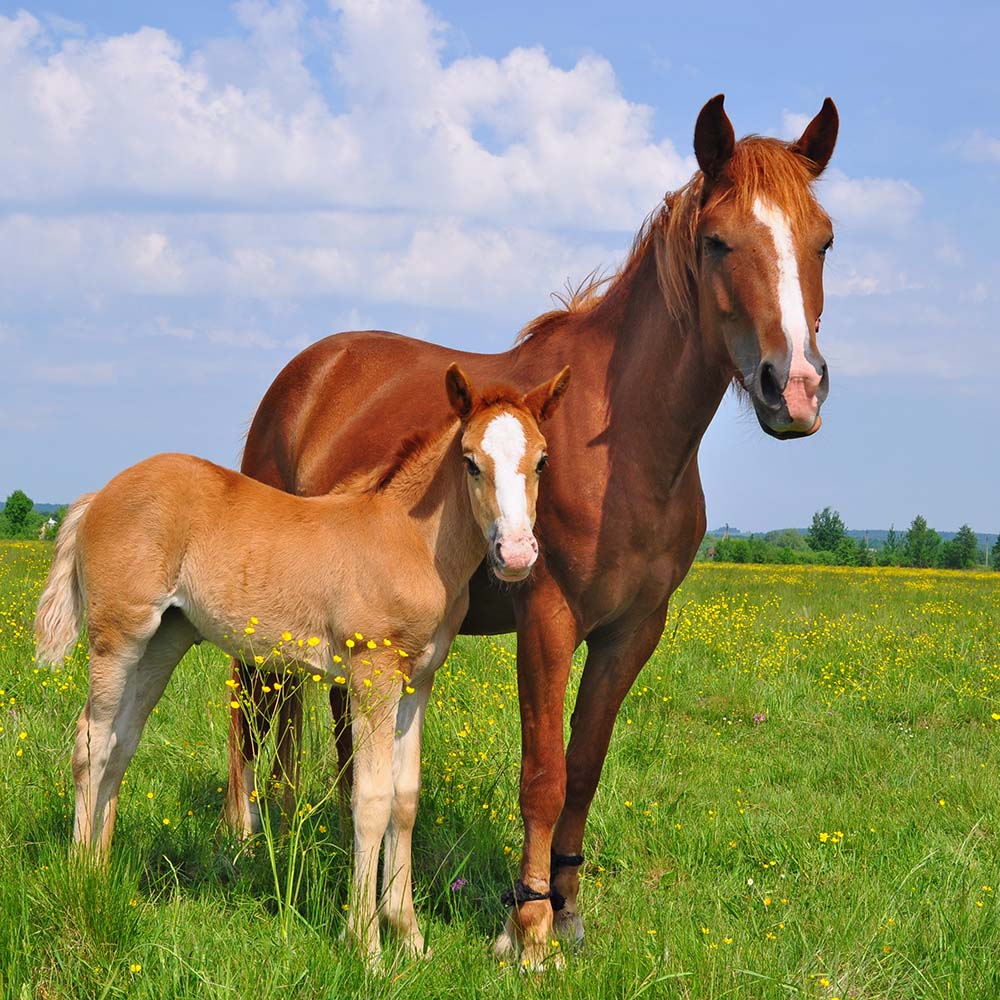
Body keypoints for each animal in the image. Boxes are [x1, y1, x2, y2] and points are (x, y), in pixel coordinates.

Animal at [35, 364, 572, 956]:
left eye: (542, 460)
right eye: (471, 461)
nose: (516, 554)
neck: (408, 538)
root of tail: (97, 495)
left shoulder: (418, 682)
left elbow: (405, 801)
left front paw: (410, 937)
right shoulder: (372, 675)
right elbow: (370, 800)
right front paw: (366, 946)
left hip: (163, 642)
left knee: (121, 742)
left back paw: (100, 869)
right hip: (119, 636)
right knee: (91, 740)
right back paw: (80, 877)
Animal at [227, 94, 836, 968]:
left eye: (823, 239)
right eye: (720, 241)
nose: (795, 389)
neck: (617, 442)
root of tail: (306, 374)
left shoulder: (631, 631)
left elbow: (584, 766)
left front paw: (568, 911)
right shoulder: (546, 619)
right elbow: (543, 771)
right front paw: (530, 930)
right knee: (251, 708)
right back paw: (250, 836)